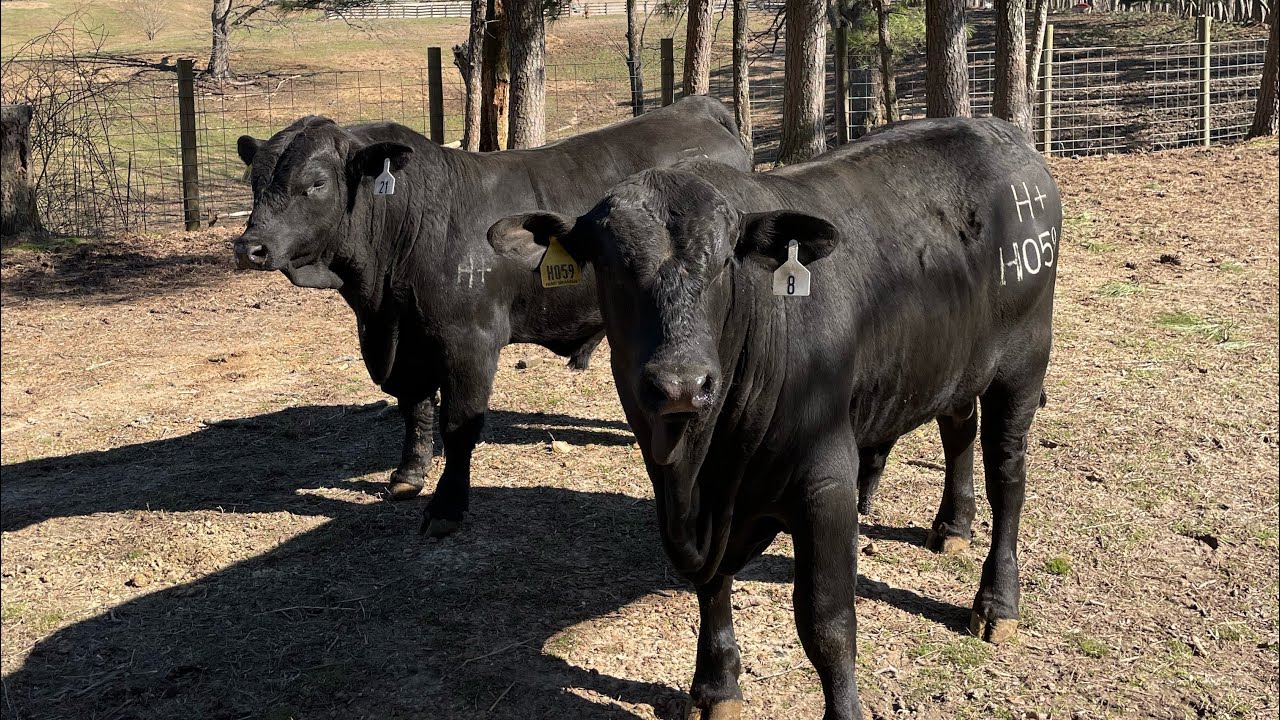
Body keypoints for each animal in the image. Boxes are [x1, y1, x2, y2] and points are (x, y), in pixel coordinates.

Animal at [232, 97, 752, 537]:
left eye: (316, 184)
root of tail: (695, 107)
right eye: (255, 182)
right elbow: (415, 407)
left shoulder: (469, 342)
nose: (249, 247)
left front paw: (446, 508)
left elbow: (459, 425)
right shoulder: (405, 341)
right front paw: (408, 476)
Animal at [487, 117, 1061, 719]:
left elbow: (826, 622)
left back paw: (997, 604)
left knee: (1008, 477)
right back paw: (952, 526)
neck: (701, 468)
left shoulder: (825, 479)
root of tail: (1003, 133)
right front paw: (716, 687)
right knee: (957, 427)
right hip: (954, 361)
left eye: (723, 265)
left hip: (1023, 362)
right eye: (612, 270)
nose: (681, 383)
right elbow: (712, 584)